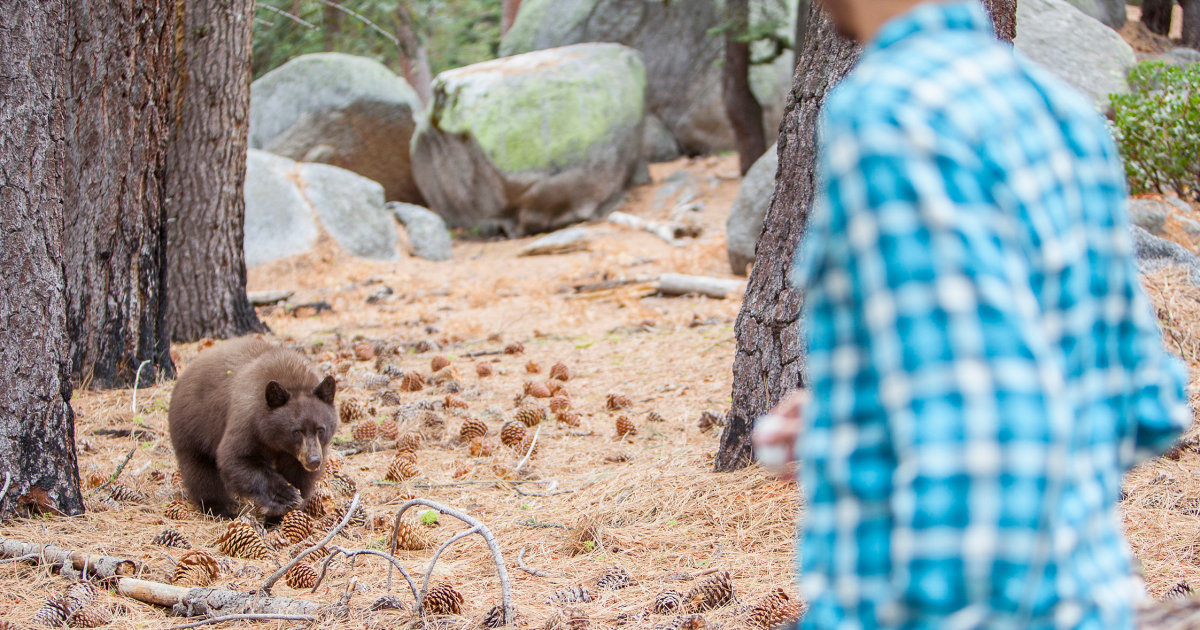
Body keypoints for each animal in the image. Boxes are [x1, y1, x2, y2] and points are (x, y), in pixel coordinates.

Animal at [168, 337, 337, 518]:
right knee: (201, 471)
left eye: (321, 429)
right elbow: (235, 458)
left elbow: (299, 474)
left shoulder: (300, 452)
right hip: (194, 427)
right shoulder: (248, 421)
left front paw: (281, 514)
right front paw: (285, 496)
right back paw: (221, 508)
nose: (314, 460)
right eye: (296, 431)